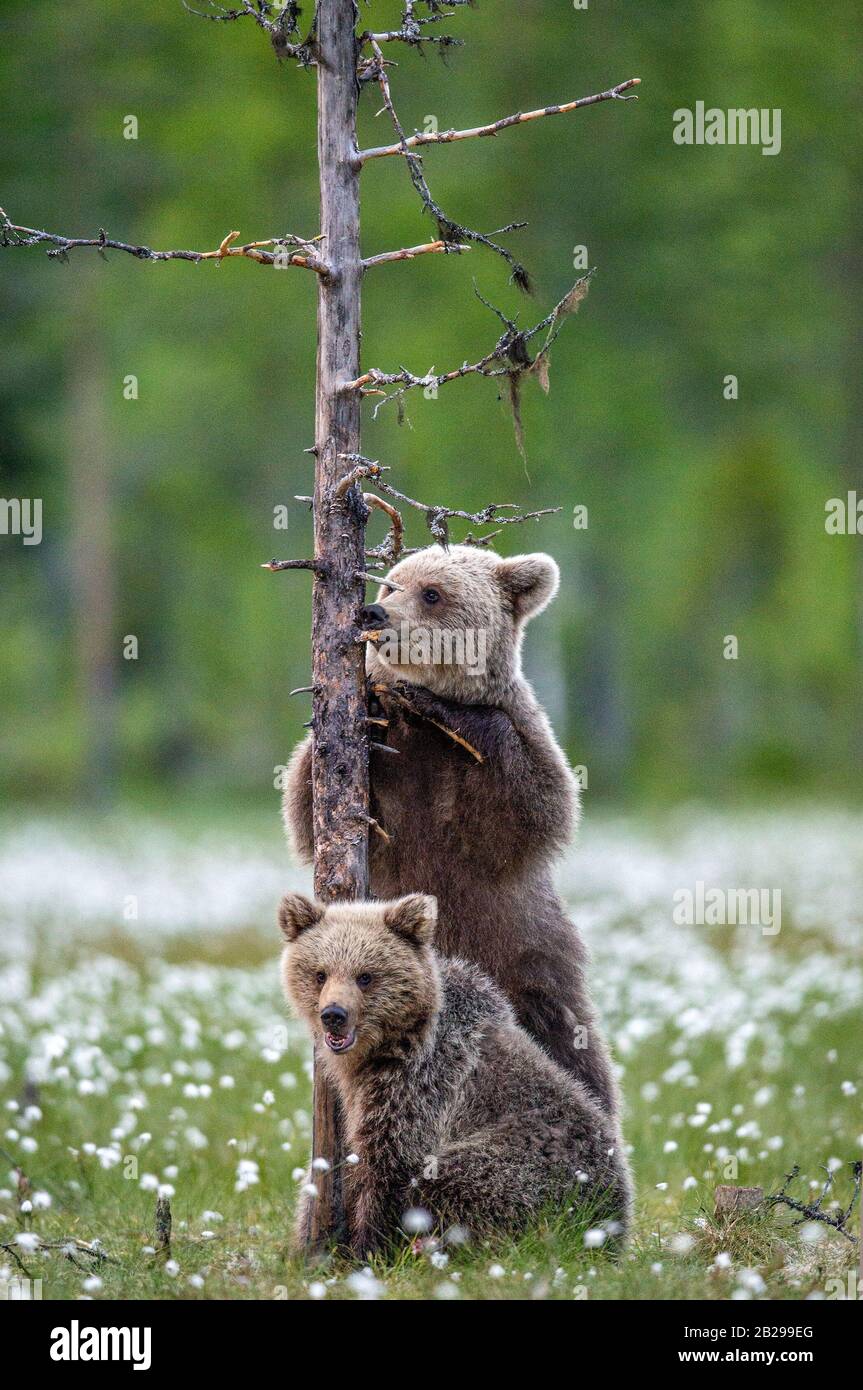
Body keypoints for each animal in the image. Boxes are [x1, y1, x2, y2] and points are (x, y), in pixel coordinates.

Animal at [278, 890, 632, 1255]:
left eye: (366, 976)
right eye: (320, 973)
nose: (333, 1014)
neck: (384, 1049)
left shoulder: (421, 1085)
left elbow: (389, 1164)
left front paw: (366, 1248)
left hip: (538, 1163)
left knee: (451, 1180)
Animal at [285, 543, 621, 1125]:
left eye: (432, 592)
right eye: (389, 583)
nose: (373, 614)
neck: (422, 739)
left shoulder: (516, 745)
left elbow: (532, 806)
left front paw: (441, 708)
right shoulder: (378, 777)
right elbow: (307, 801)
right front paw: (371, 714)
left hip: (532, 969)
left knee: (573, 1051)